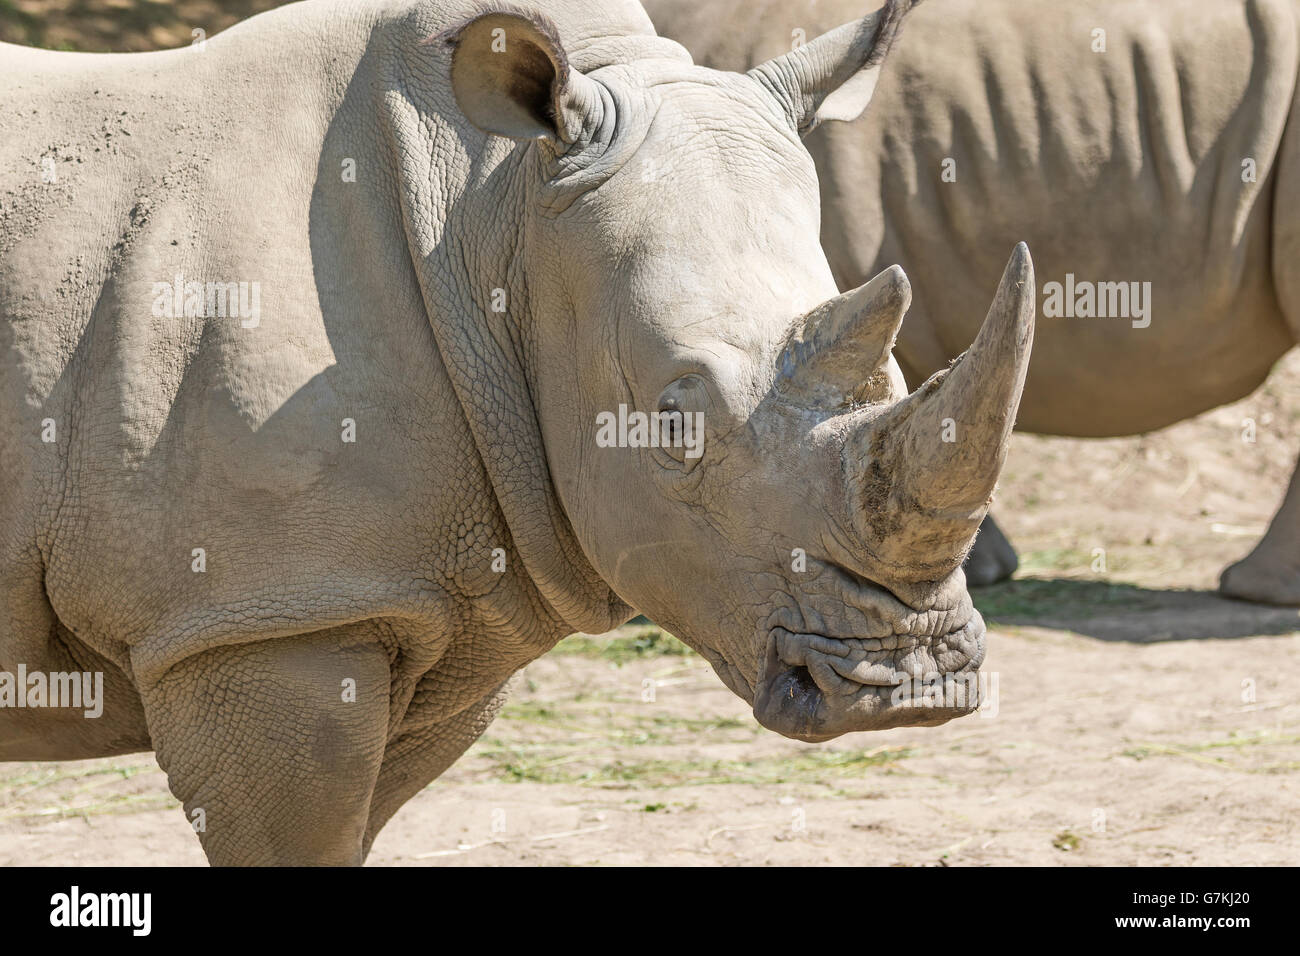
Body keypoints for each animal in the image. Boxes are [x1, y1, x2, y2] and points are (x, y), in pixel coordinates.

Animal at [0, 0, 1035, 865]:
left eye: (895, 377)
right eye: (676, 422)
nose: (915, 679)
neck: (498, 213)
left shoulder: (420, 605)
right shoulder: (257, 618)